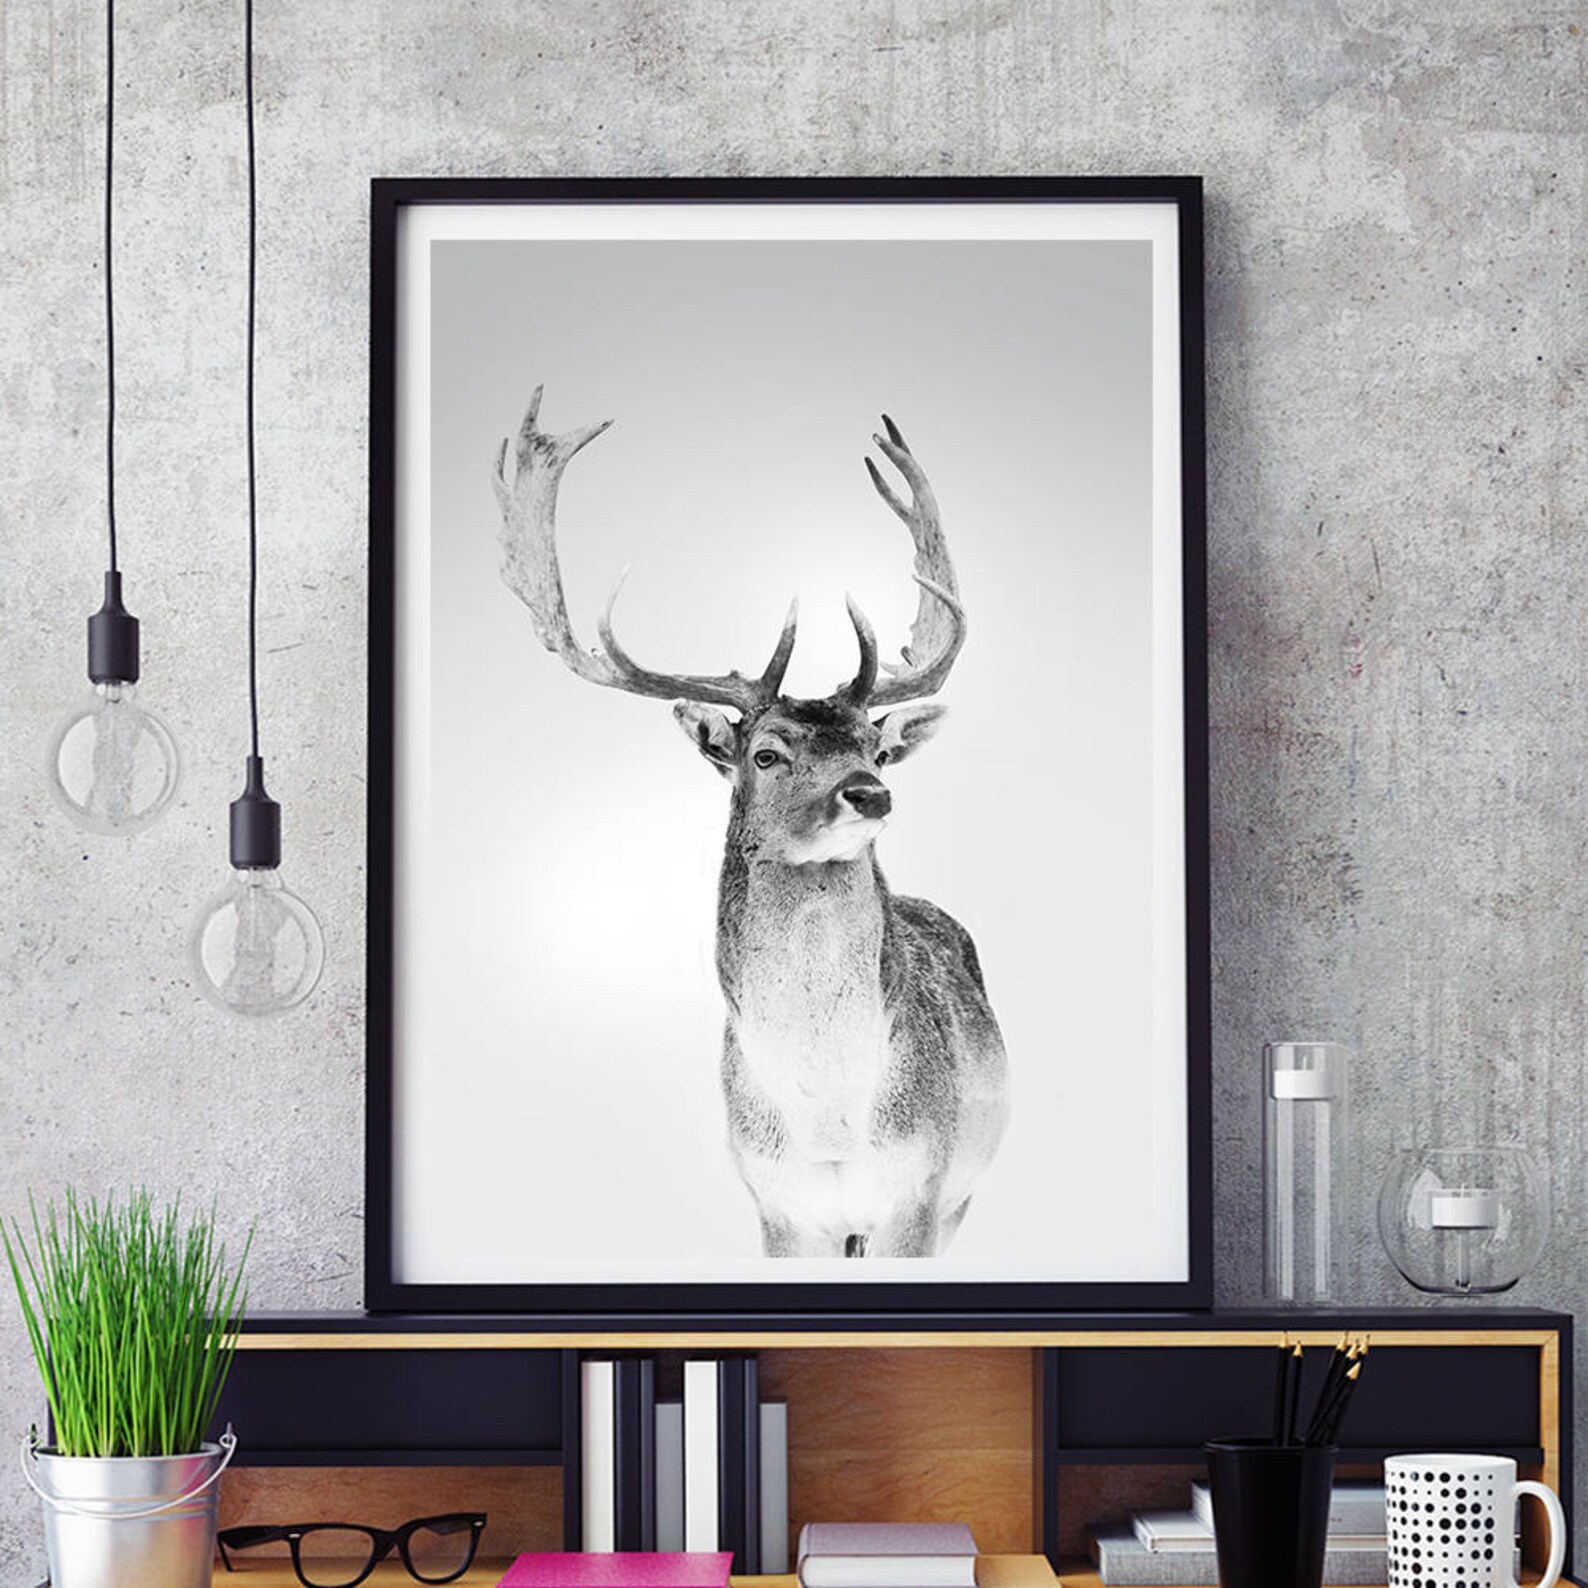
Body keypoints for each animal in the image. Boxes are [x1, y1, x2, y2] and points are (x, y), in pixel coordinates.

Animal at [491, 387, 1009, 1258]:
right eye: (766, 753)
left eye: (876, 745)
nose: (870, 793)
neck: (827, 1121)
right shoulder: (775, 1204)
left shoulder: (921, 1188)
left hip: (966, 1192)